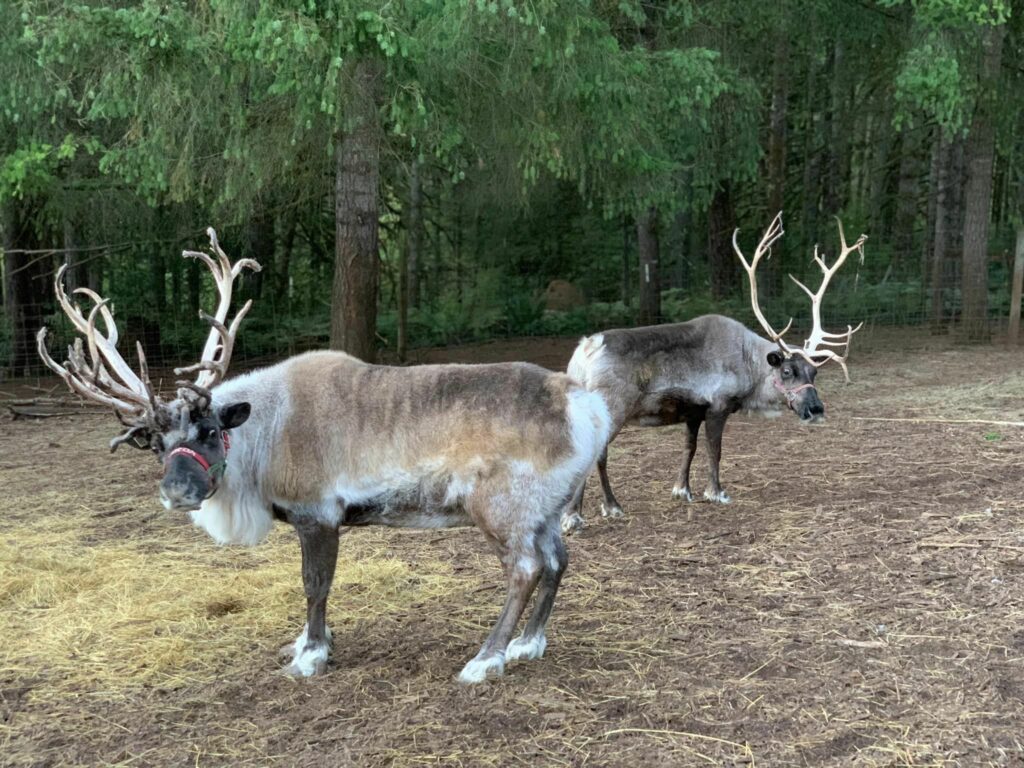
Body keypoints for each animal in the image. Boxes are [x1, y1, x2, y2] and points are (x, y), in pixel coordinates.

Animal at [37, 228, 611, 685]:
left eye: (209, 428)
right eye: (156, 443)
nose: (177, 492)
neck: (263, 433)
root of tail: (586, 405)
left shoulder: (317, 514)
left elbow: (315, 586)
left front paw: (311, 655)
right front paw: (308, 644)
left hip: (503, 509)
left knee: (525, 568)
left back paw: (486, 659)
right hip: (544, 510)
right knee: (558, 560)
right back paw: (528, 644)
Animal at [561, 213, 865, 533]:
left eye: (814, 371)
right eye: (786, 370)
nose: (816, 408)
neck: (749, 363)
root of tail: (584, 351)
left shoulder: (693, 411)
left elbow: (690, 448)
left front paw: (682, 490)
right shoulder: (718, 406)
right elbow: (714, 450)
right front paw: (716, 492)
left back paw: (609, 506)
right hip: (613, 407)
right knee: (592, 454)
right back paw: (579, 515)